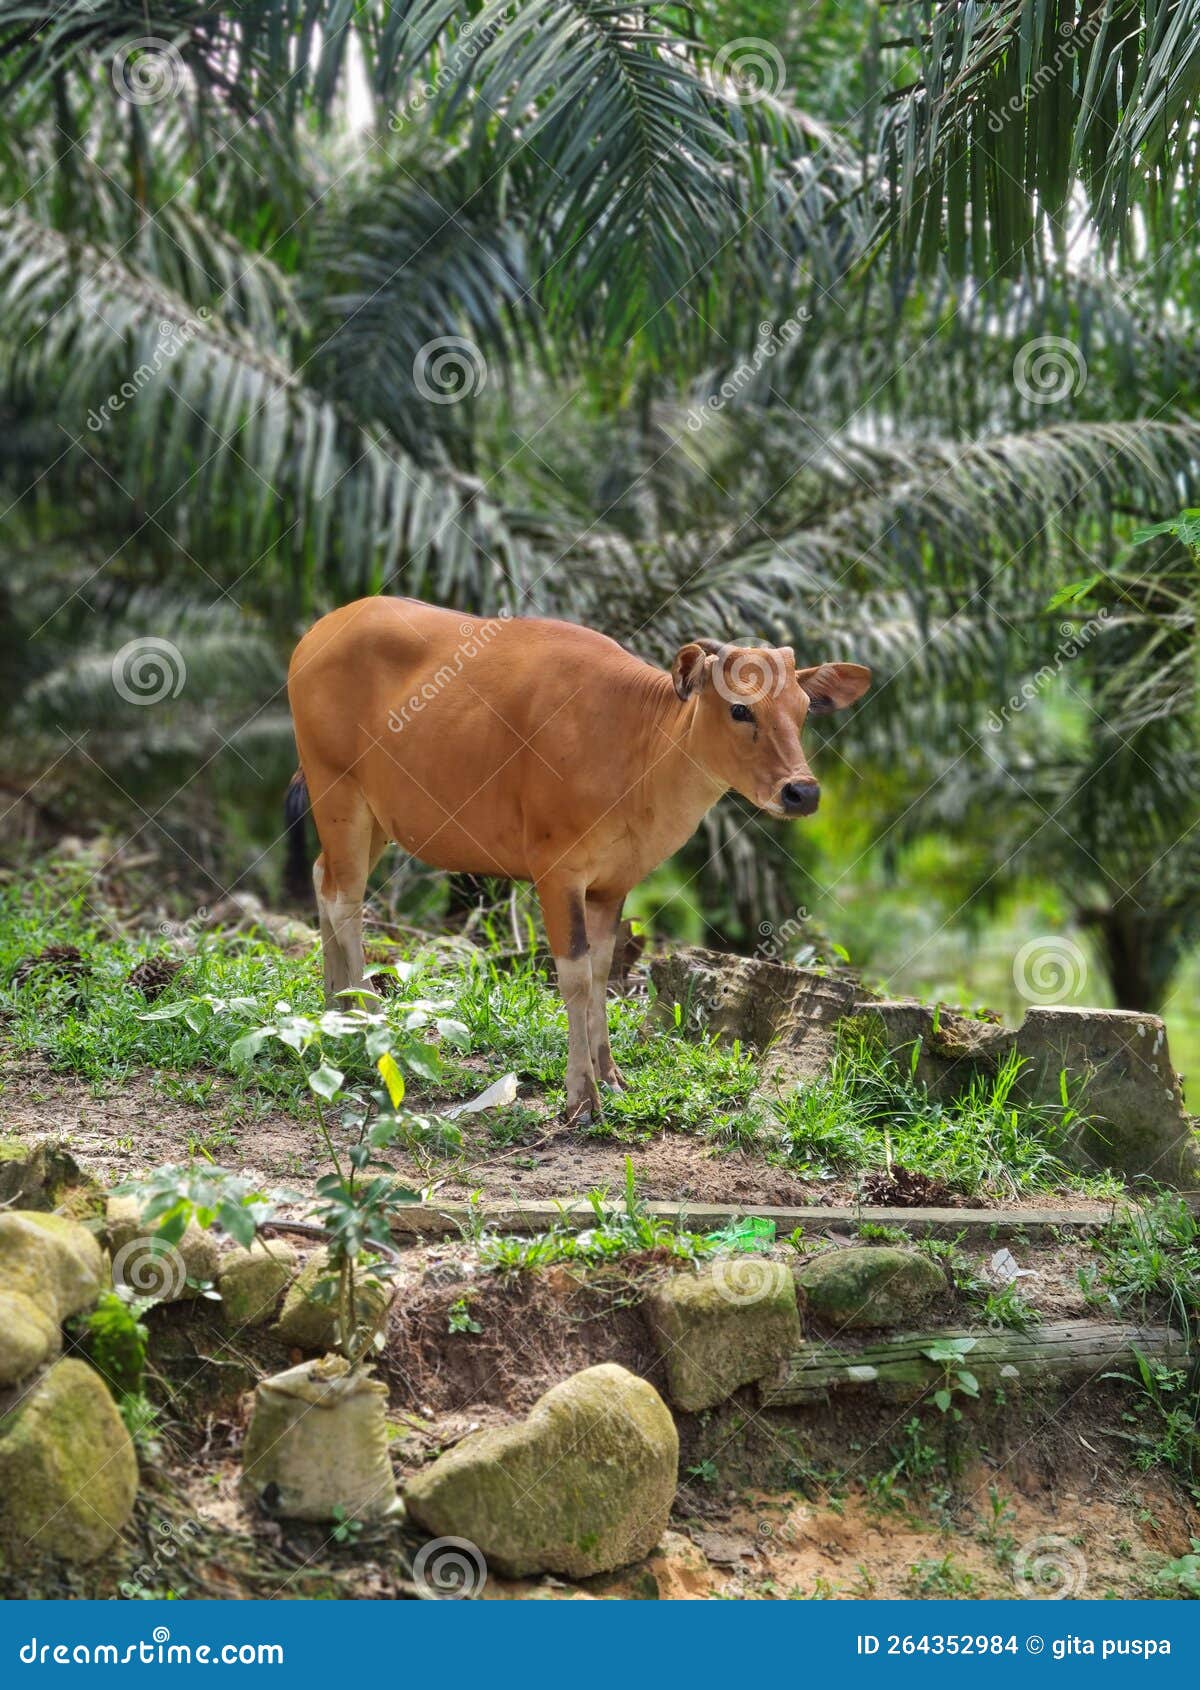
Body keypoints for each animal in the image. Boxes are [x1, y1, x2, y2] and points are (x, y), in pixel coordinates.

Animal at [286, 598, 870, 1124]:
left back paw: (334, 1009)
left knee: (322, 878)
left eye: (802, 711)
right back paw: (366, 1018)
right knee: (345, 899)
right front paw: (581, 1096)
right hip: (336, 788)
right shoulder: (556, 872)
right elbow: (572, 977)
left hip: (376, 816)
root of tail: (318, 631)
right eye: (740, 708)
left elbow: (602, 971)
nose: (802, 792)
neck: (634, 746)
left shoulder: (614, 884)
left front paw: (610, 1075)